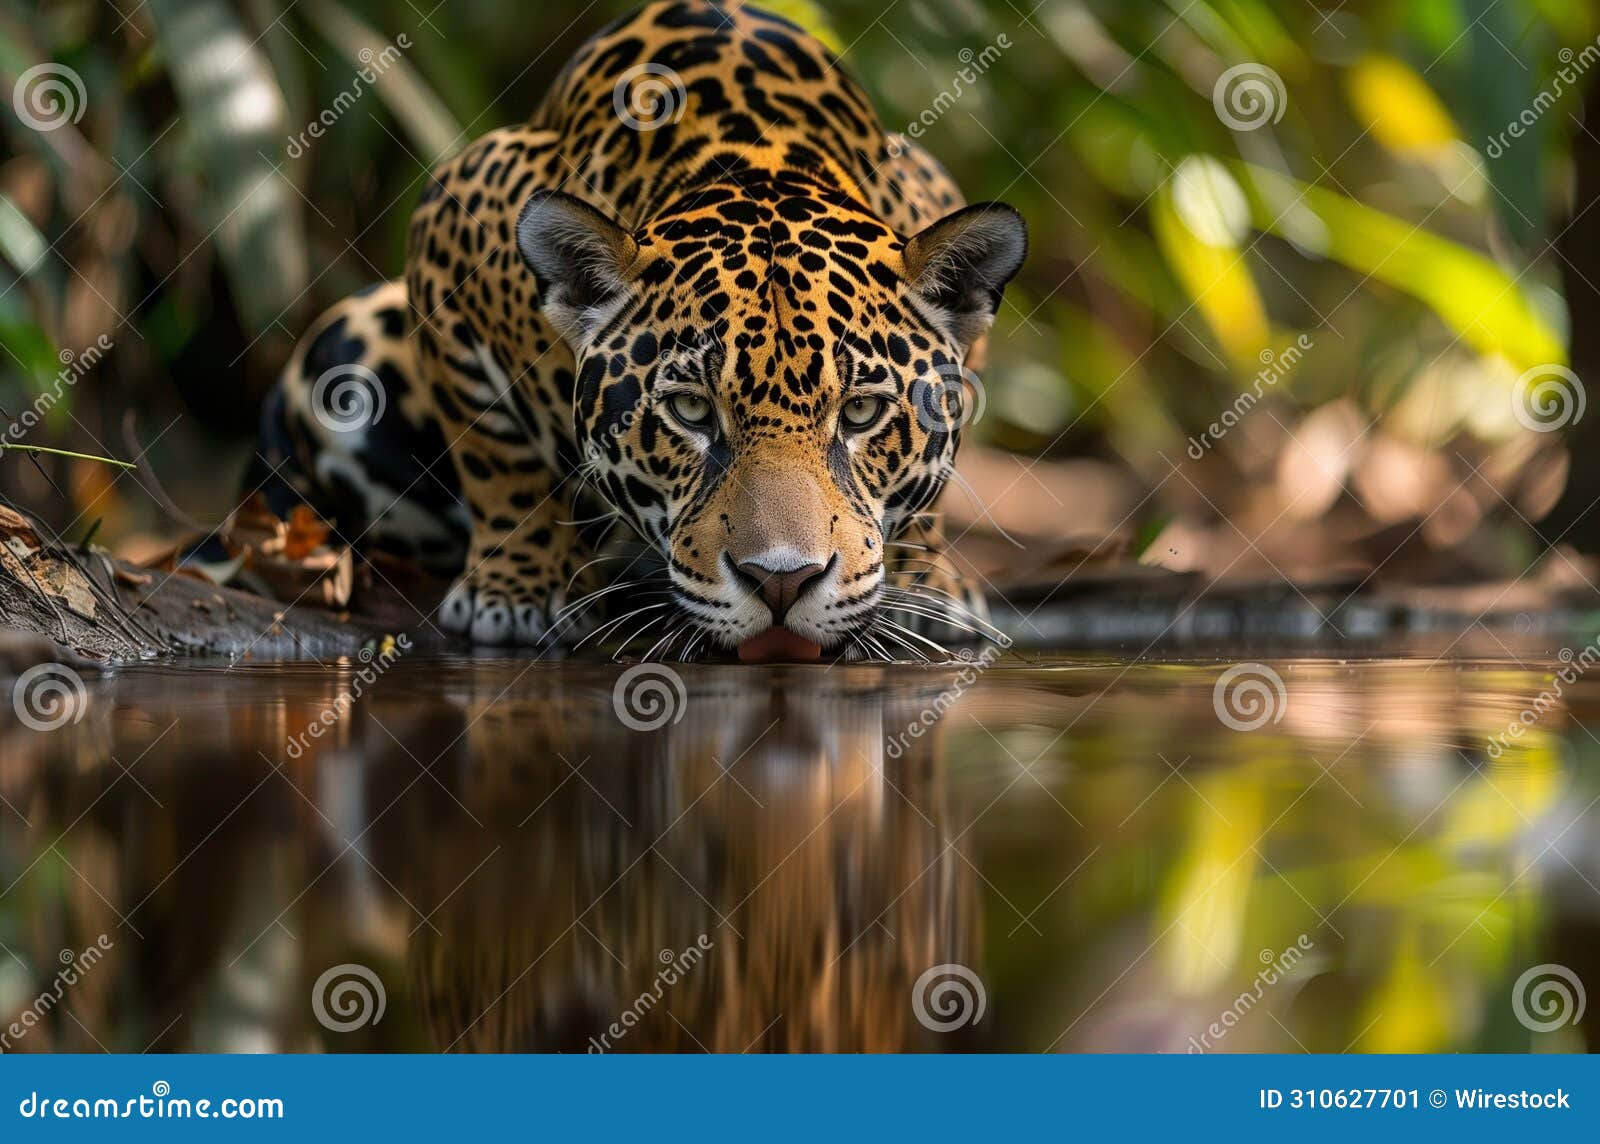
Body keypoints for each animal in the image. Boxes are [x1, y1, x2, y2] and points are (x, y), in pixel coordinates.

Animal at [258, 0, 1027, 658]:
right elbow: (497, 454)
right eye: (690, 410)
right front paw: (516, 589)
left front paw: (927, 587)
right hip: (341, 361)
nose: (782, 581)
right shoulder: (453, 222)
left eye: (863, 413)